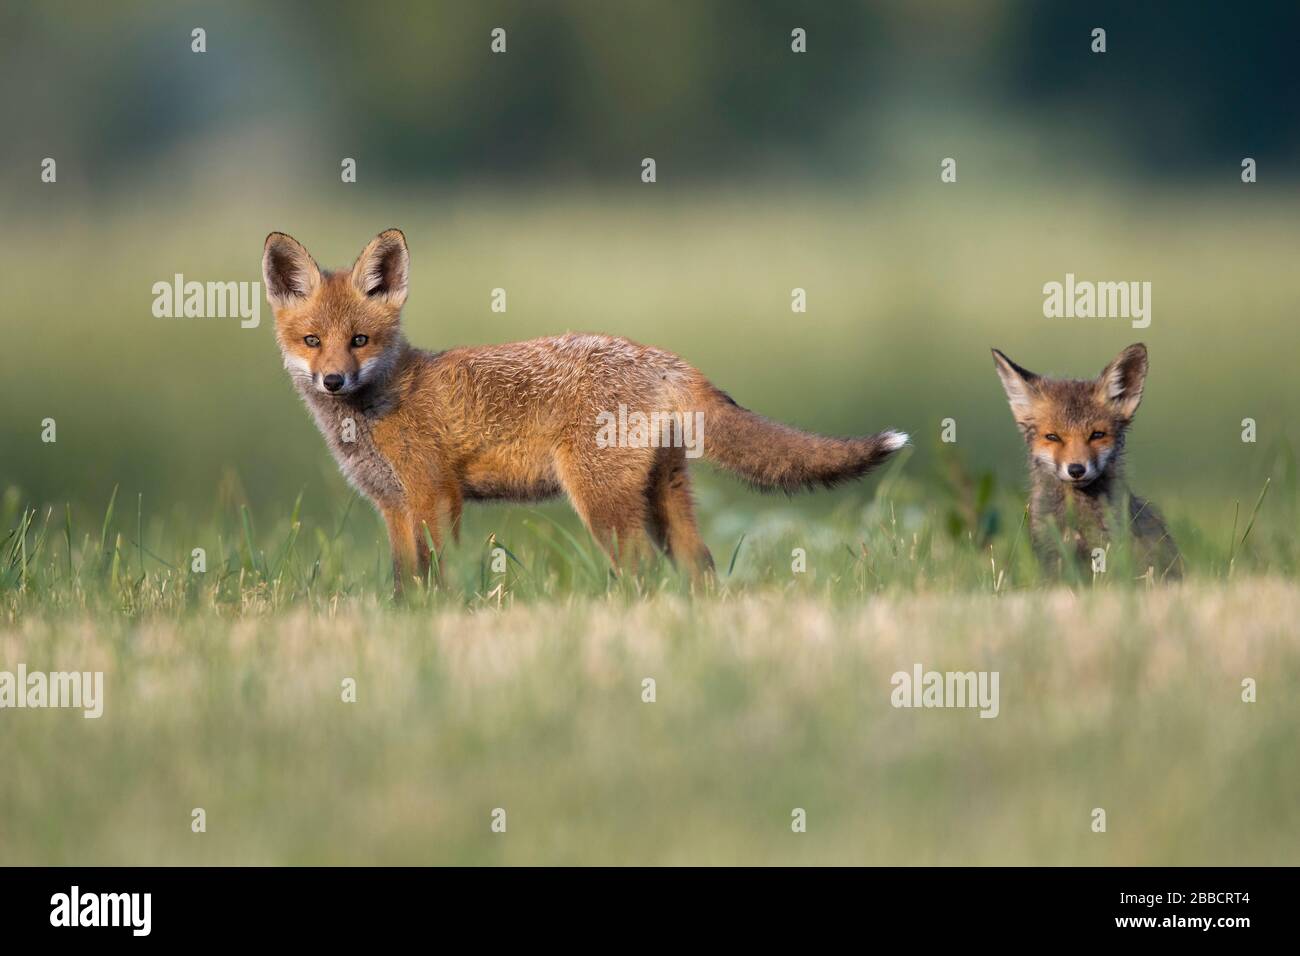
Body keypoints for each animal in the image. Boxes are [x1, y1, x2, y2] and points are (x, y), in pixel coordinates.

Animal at [262, 228, 909, 591]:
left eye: (361, 340)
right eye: (312, 340)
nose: (334, 380)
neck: (380, 406)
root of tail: (667, 359)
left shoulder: (433, 495)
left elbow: (440, 575)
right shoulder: (394, 507)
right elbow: (404, 582)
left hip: (602, 503)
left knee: (643, 571)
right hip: (665, 498)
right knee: (699, 570)